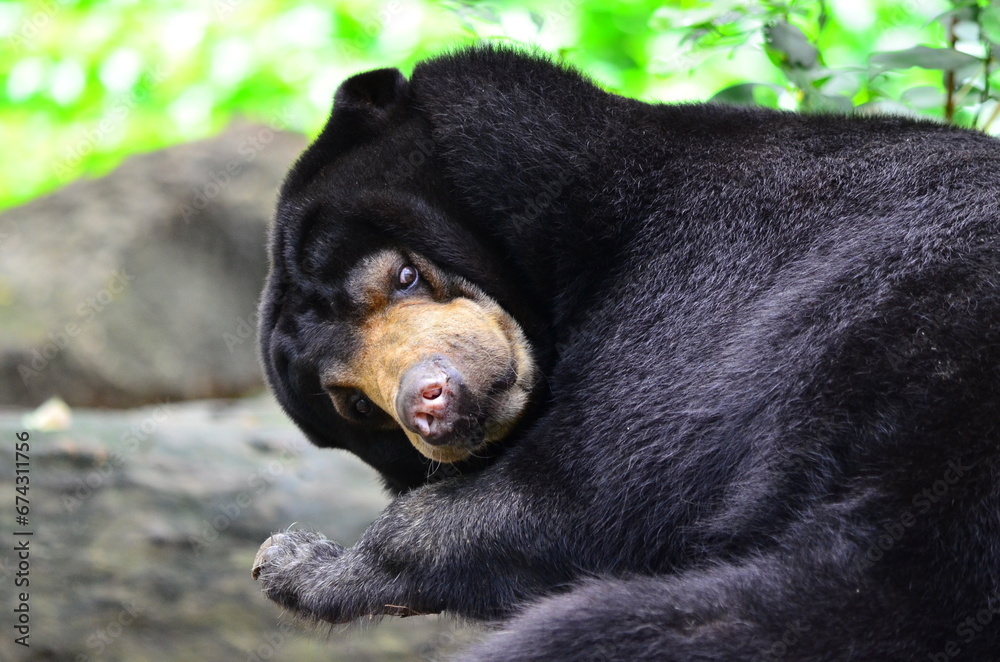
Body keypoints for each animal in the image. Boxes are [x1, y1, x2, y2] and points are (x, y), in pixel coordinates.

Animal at [253, 44, 1000, 661]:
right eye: (355, 405)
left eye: (403, 275)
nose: (431, 400)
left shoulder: (683, 294)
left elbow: (599, 486)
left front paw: (299, 562)